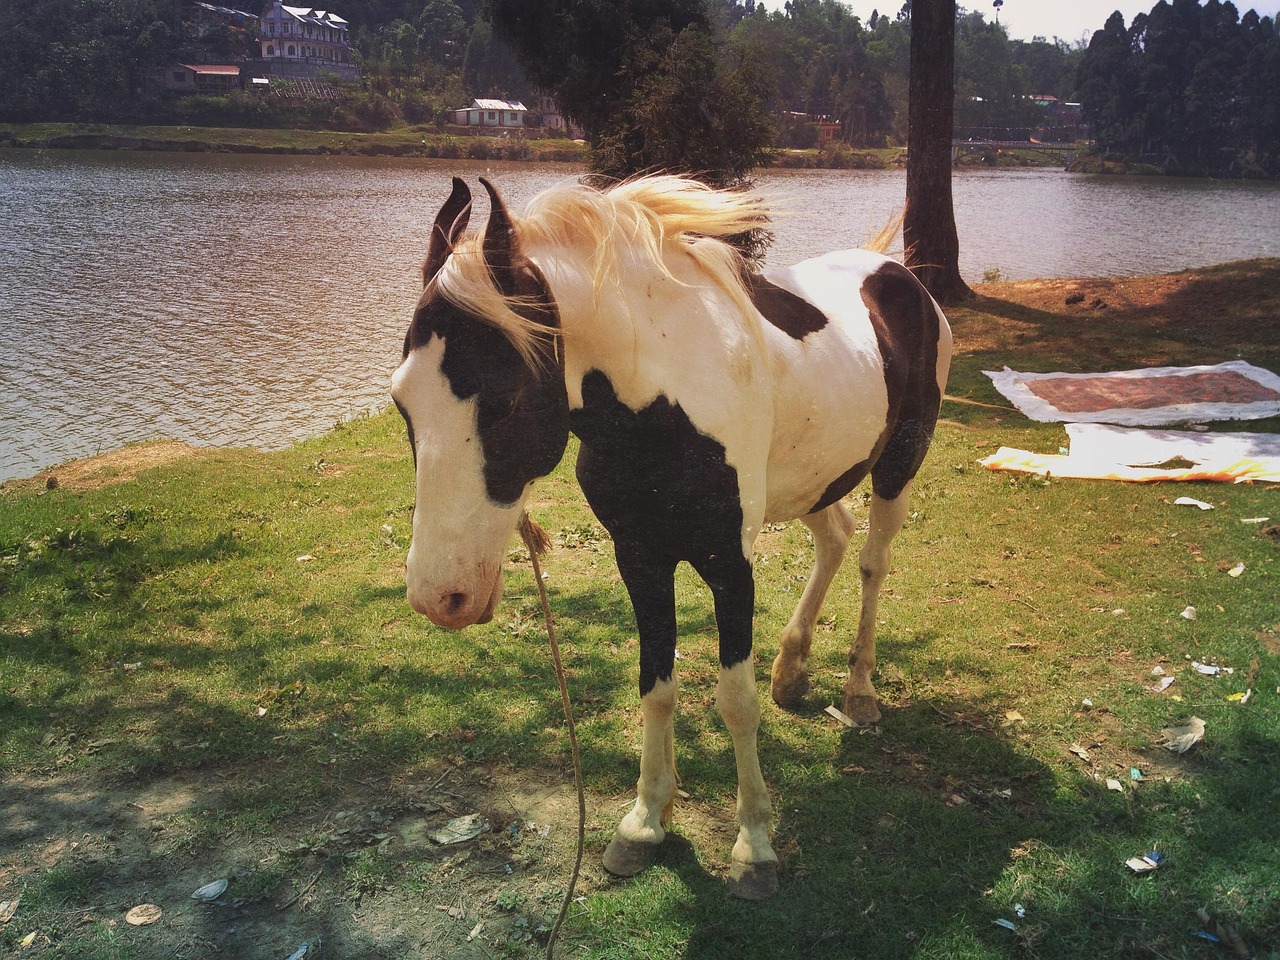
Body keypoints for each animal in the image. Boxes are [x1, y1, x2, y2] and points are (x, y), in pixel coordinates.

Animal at [390, 174, 953, 900]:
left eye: (506, 399)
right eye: (401, 401)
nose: (440, 597)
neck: (661, 402)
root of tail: (899, 274)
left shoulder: (728, 562)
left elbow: (735, 701)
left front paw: (754, 846)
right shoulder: (641, 557)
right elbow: (656, 687)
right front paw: (644, 823)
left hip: (897, 468)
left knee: (872, 561)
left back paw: (859, 690)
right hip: (814, 479)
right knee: (835, 537)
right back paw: (793, 668)